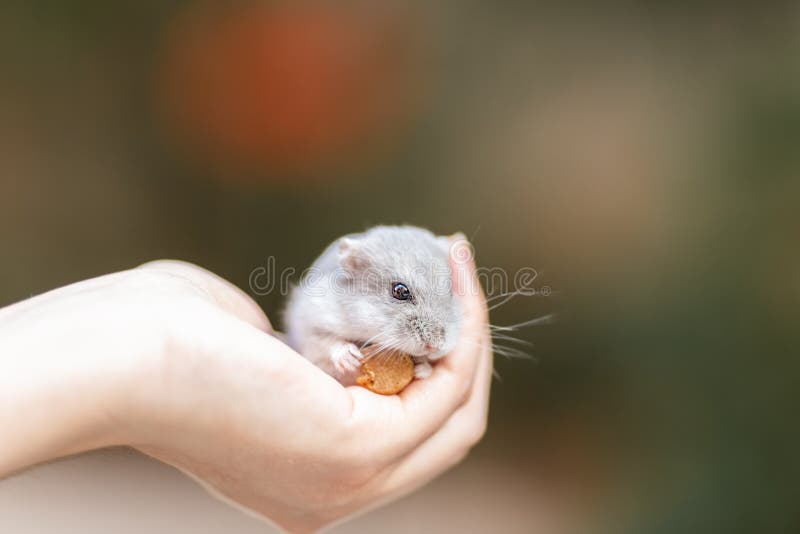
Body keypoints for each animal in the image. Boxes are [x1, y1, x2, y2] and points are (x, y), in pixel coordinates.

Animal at [284, 225, 462, 384]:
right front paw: (350, 359)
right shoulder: (308, 321)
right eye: (400, 291)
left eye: (450, 291)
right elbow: (326, 341)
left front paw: (421, 369)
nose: (436, 347)